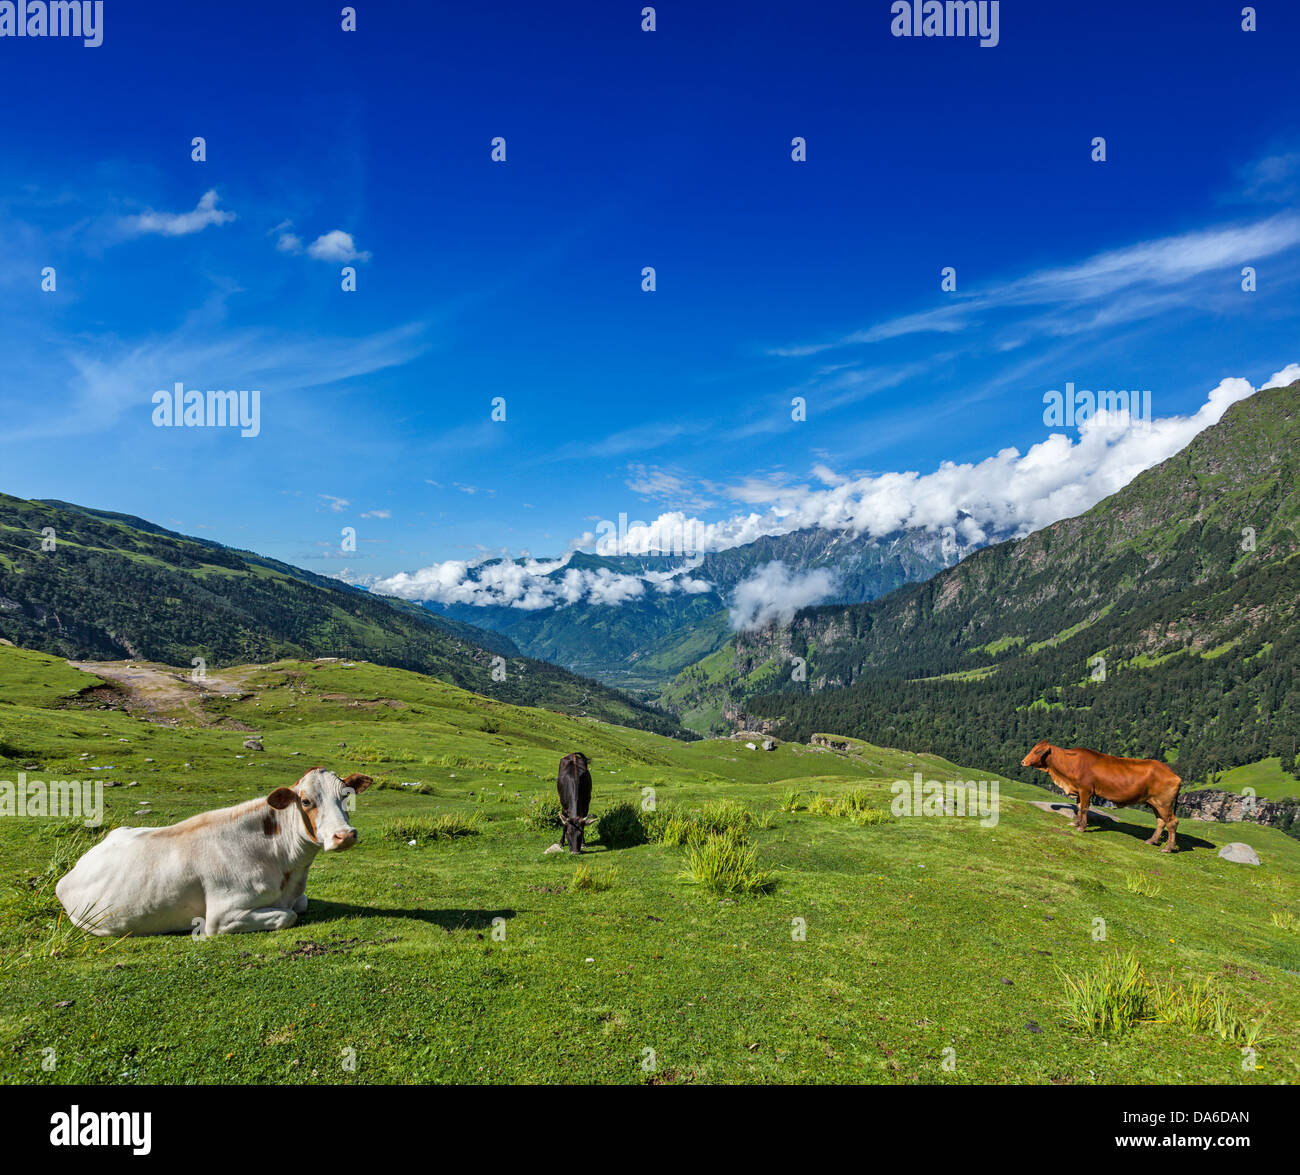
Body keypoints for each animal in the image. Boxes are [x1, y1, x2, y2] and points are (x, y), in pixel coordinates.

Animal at [55, 768, 372, 936]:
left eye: (346, 796)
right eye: (306, 801)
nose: (344, 835)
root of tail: (70, 873)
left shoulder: (296, 895)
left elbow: (300, 906)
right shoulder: (223, 916)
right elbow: (287, 916)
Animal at [1020, 741, 1182, 852]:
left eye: (1037, 751)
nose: (1023, 761)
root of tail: (1174, 774)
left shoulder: (1086, 790)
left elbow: (1084, 808)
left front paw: (1082, 827)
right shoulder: (1079, 791)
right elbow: (1079, 807)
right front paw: (1075, 823)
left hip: (1164, 803)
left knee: (1172, 822)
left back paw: (1168, 848)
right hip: (1156, 804)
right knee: (1161, 822)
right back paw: (1151, 841)